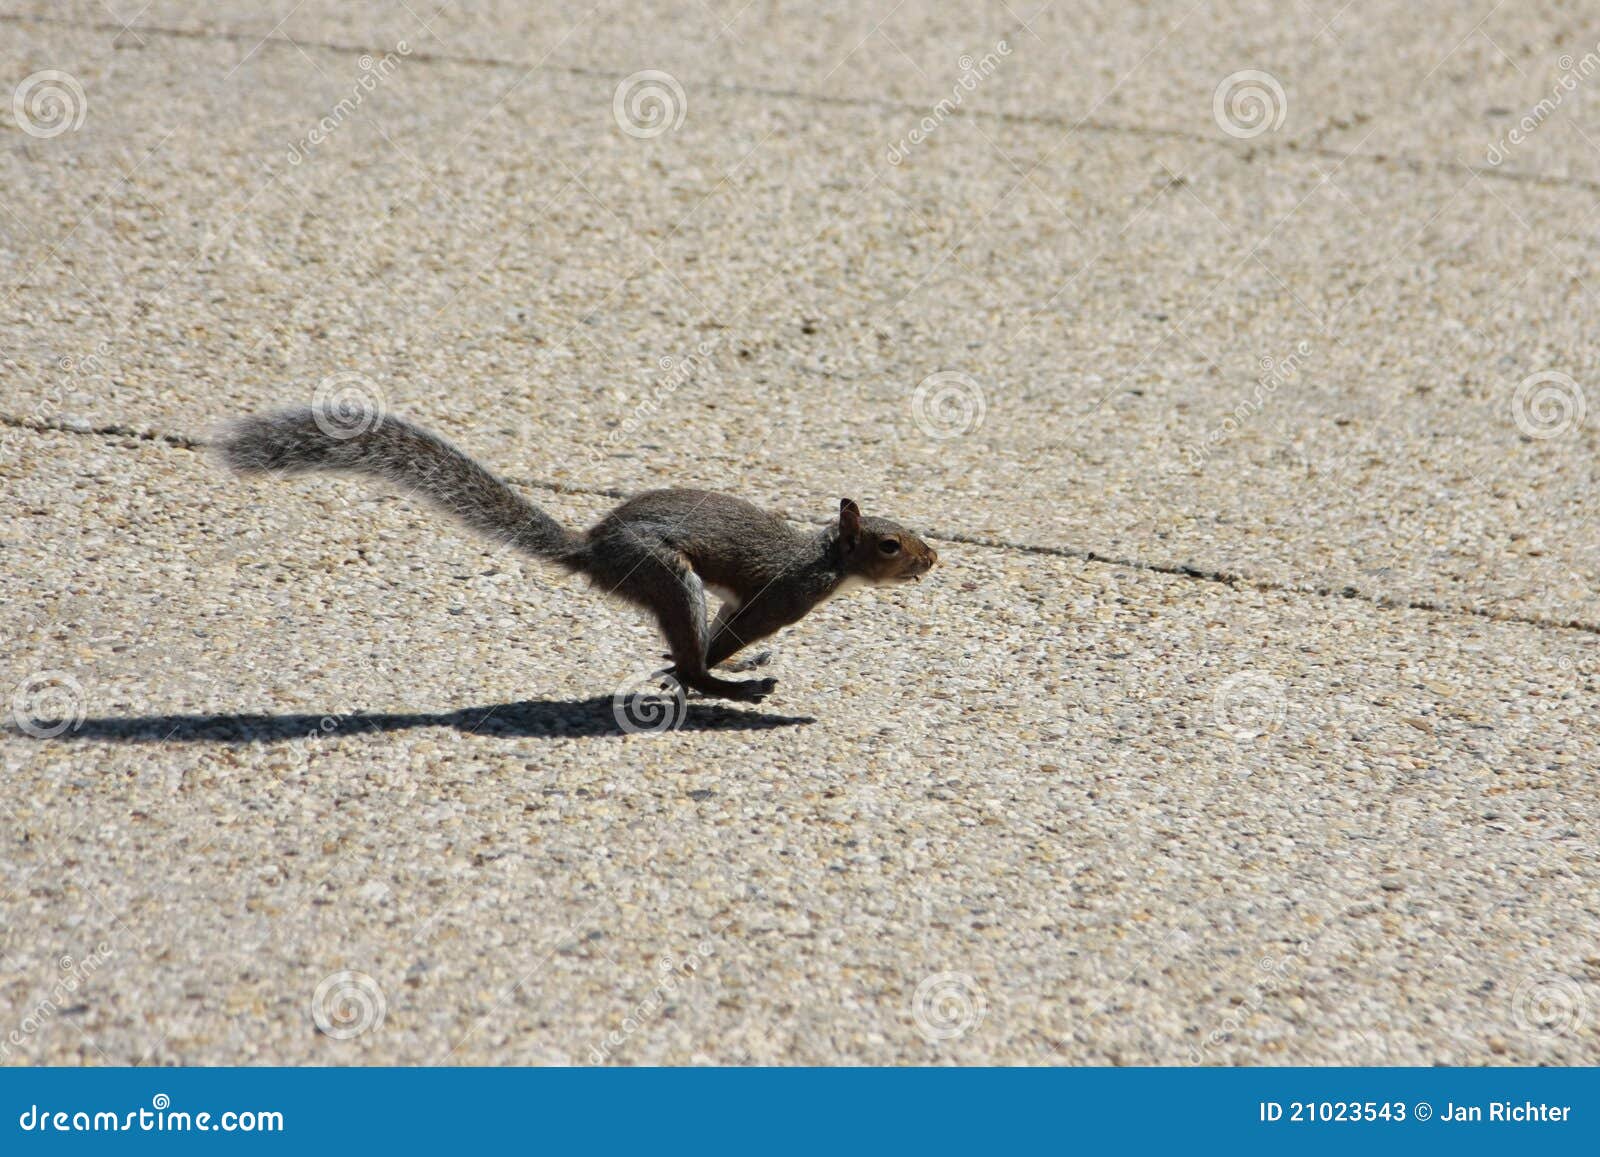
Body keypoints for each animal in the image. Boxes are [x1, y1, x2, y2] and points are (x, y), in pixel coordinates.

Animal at [217, 408, 938, 703]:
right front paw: (724, 663)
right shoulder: (786, 595)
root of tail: (591, 550)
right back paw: (728, 683)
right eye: (889, 544)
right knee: (693, 655)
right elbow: (738, 627)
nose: (933, 559)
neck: (828, 559)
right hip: (667, 574)